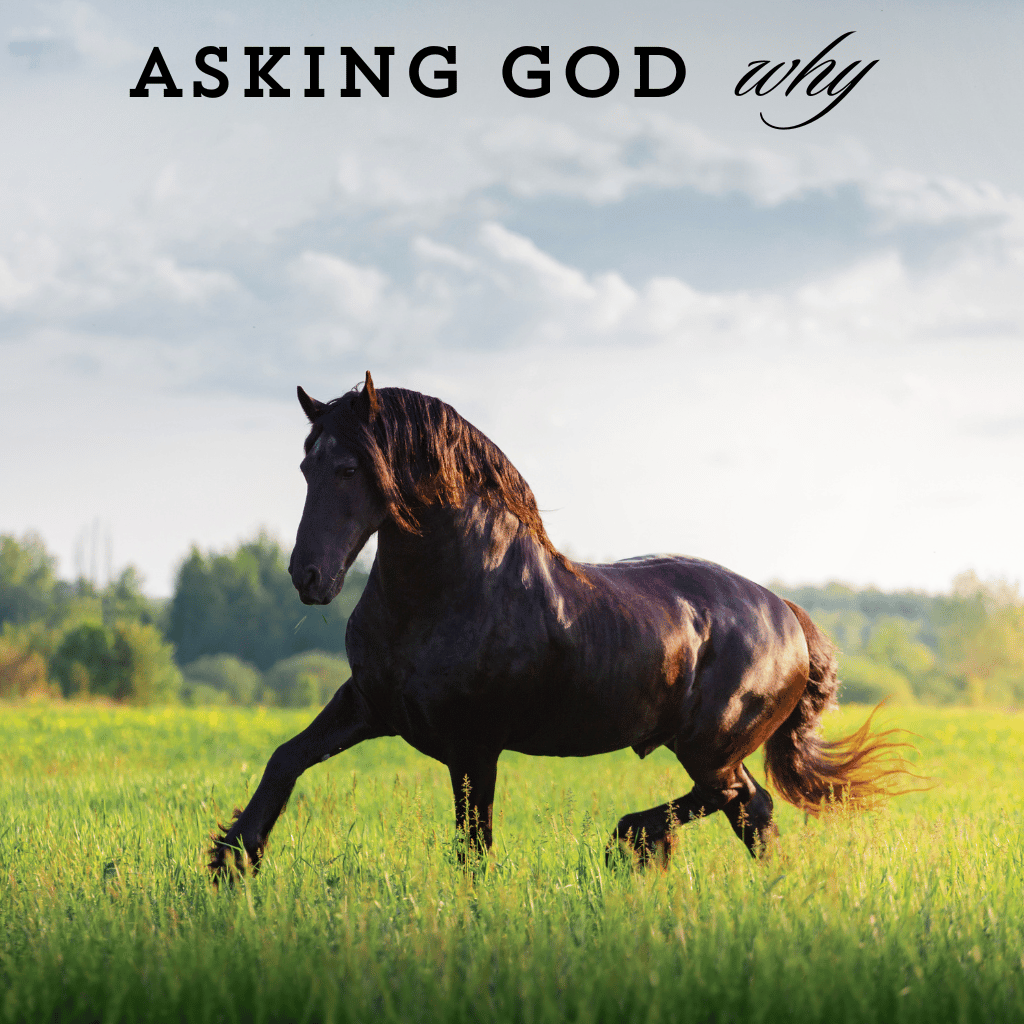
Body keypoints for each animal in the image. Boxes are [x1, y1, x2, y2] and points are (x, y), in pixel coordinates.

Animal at [209, 372, 909, 876]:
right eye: (306, 466)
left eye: (351, 468)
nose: (308, 577)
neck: (452, 593)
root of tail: (789, 616)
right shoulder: (369, 705)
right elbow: (285, 759)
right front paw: (232, 861)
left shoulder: (473, 745)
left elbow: (473, 846)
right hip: (708, 748)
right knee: (749, 812)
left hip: (709, 745)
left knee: (741, 800)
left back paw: (632, 841)